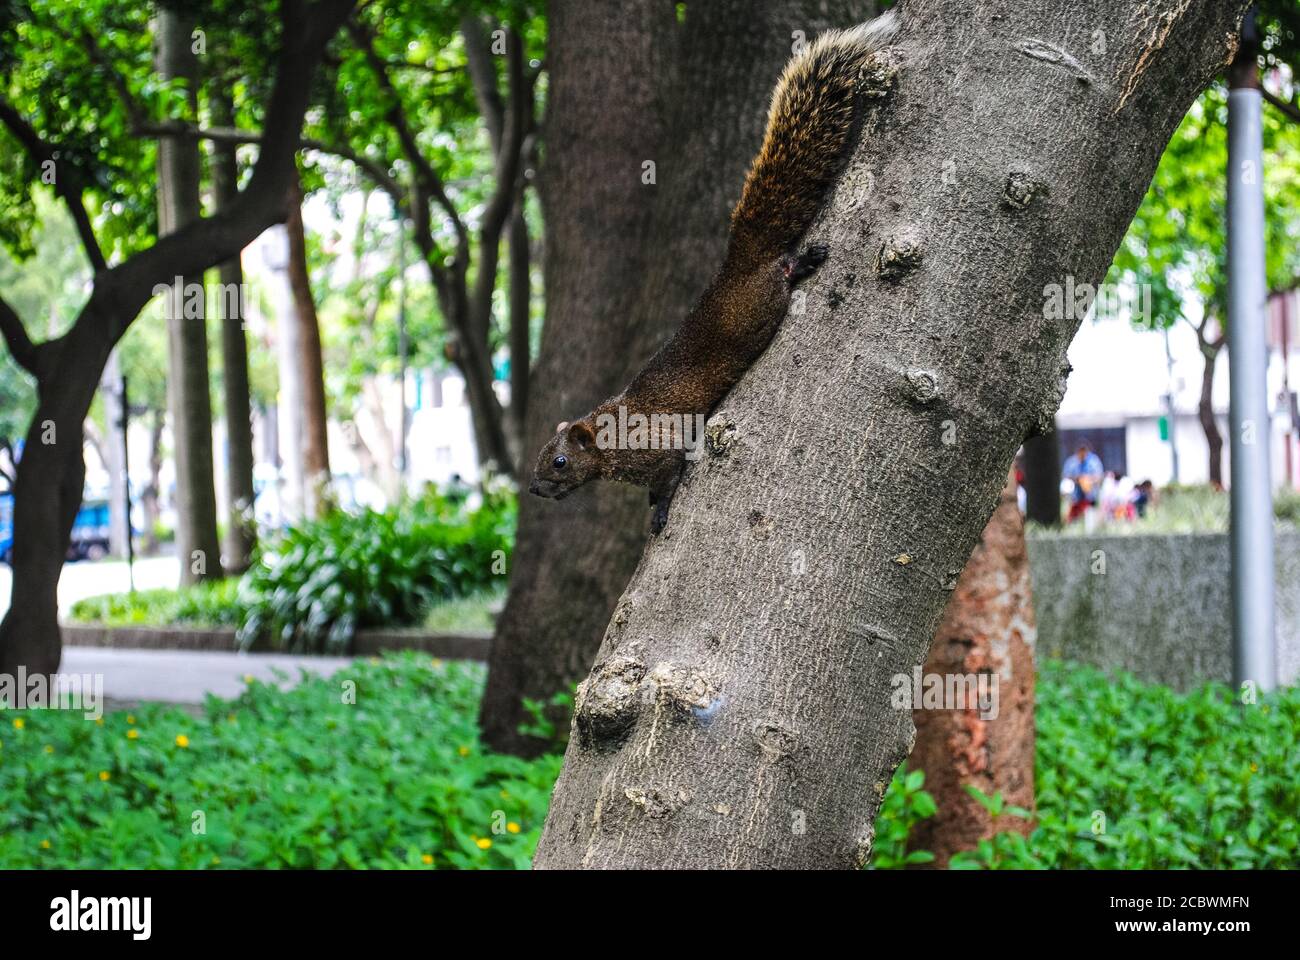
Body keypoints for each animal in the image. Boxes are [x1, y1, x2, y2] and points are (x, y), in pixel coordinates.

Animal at [528, 11, 899, 534]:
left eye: (560, 461)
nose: (535, 488)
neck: (610, 435)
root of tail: (737, 265)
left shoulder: (660, 448)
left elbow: (667, 476)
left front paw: (659, 511)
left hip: (761, 303)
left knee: (781, 271)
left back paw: (802, 261)